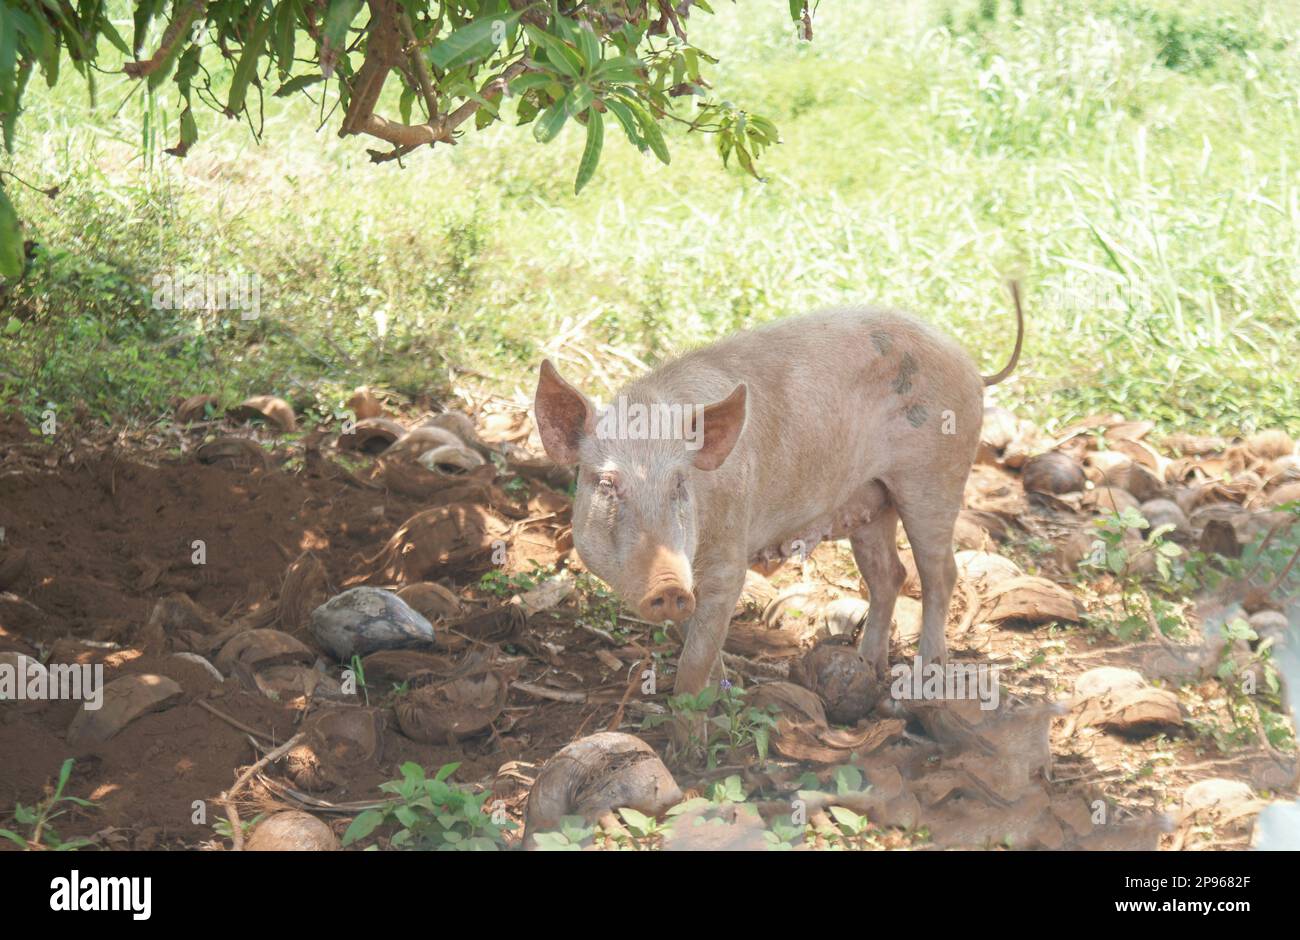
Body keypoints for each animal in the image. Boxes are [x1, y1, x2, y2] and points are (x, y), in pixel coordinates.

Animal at [534, 284, 1024, 703]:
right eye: (606, 483)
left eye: (680, 484)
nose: (670, 585)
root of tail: (971, 366)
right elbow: (696, 641)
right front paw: (723, 690)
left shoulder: (730, 553)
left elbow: (695, 658)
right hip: (870, 500)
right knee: (890, 574)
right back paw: (868, 665)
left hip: (935, 478)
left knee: (941, 573)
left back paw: (923, 677)